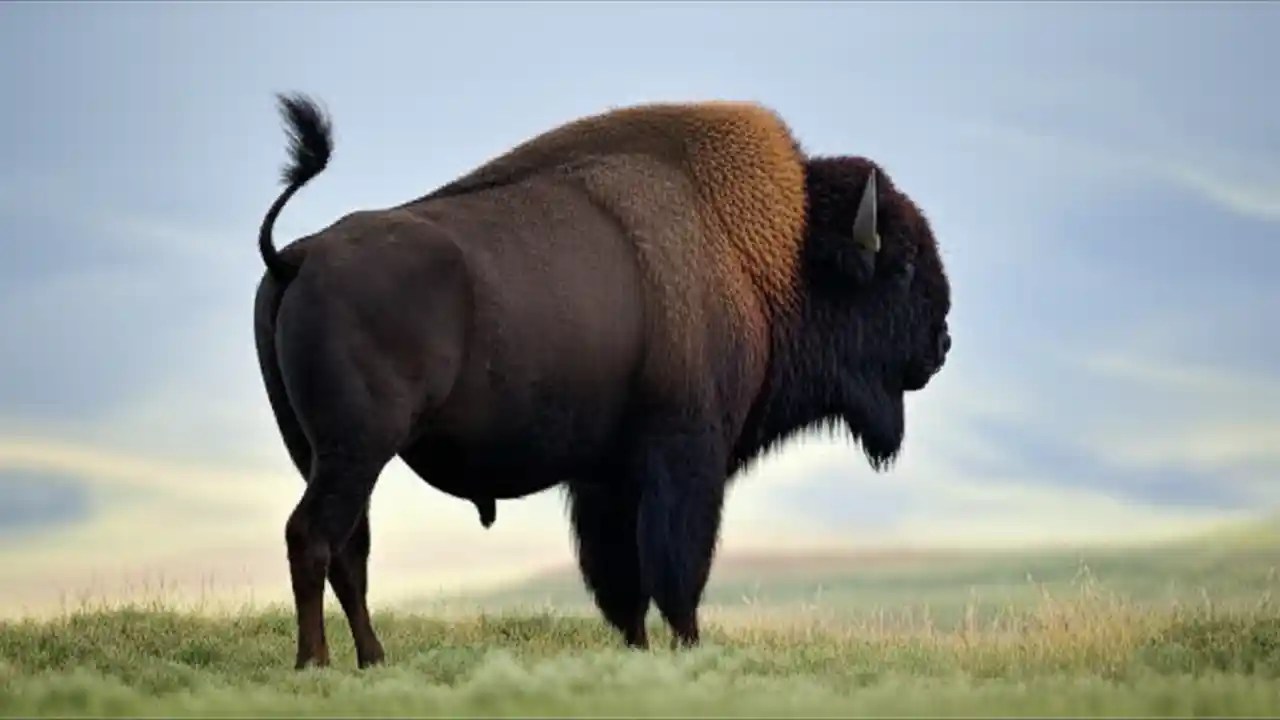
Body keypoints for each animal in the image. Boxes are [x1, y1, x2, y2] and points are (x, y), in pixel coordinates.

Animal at [253, 93, 952, 669]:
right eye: (901, 265)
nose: (941, 344)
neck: (762, 259)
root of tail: (297, 255)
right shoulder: (685, 456)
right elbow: (675, 569)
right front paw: (688, 647)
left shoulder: (607, 476)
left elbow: (623, 576)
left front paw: (638, 650)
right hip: (357, 451)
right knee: (313, 537)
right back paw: (316, 662)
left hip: (316, 451)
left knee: (348, 550)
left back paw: (372, 659)